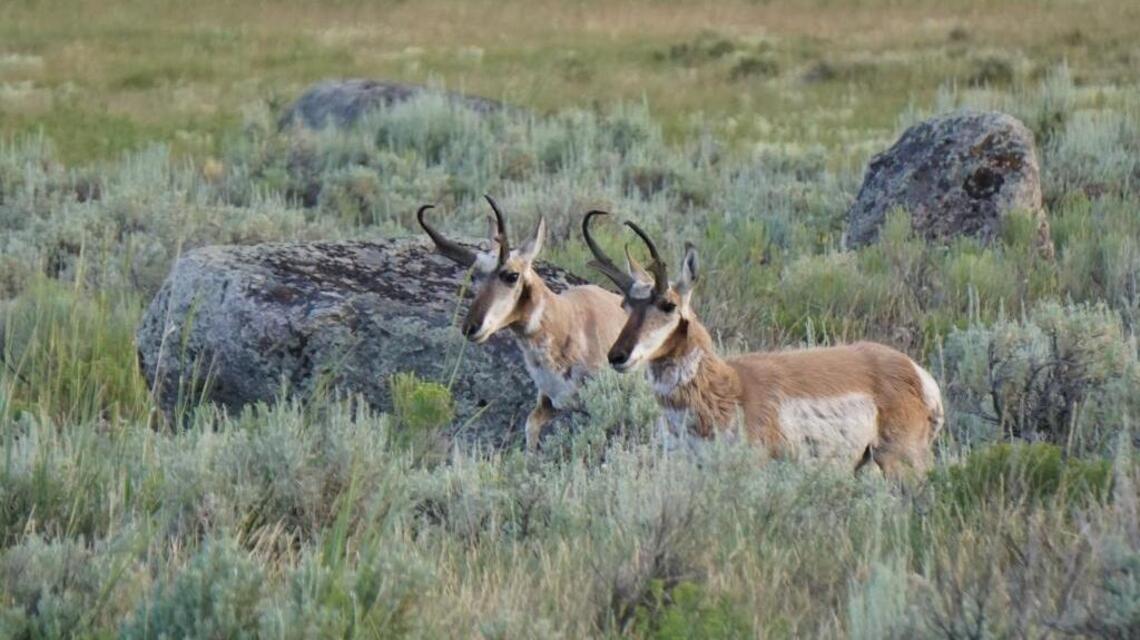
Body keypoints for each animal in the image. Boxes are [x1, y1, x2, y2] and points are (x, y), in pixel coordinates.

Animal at [418, 197, 627, 450]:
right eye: (474, 276)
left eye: (512, 275)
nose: (470, 327)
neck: (569, 321)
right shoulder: (548, 403)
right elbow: (530, 427)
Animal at [584, 213, 943, 477]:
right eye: (625, 305)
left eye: (668, 305)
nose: (617, 356)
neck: (730, 387)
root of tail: (916, 372)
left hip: (902, 463)